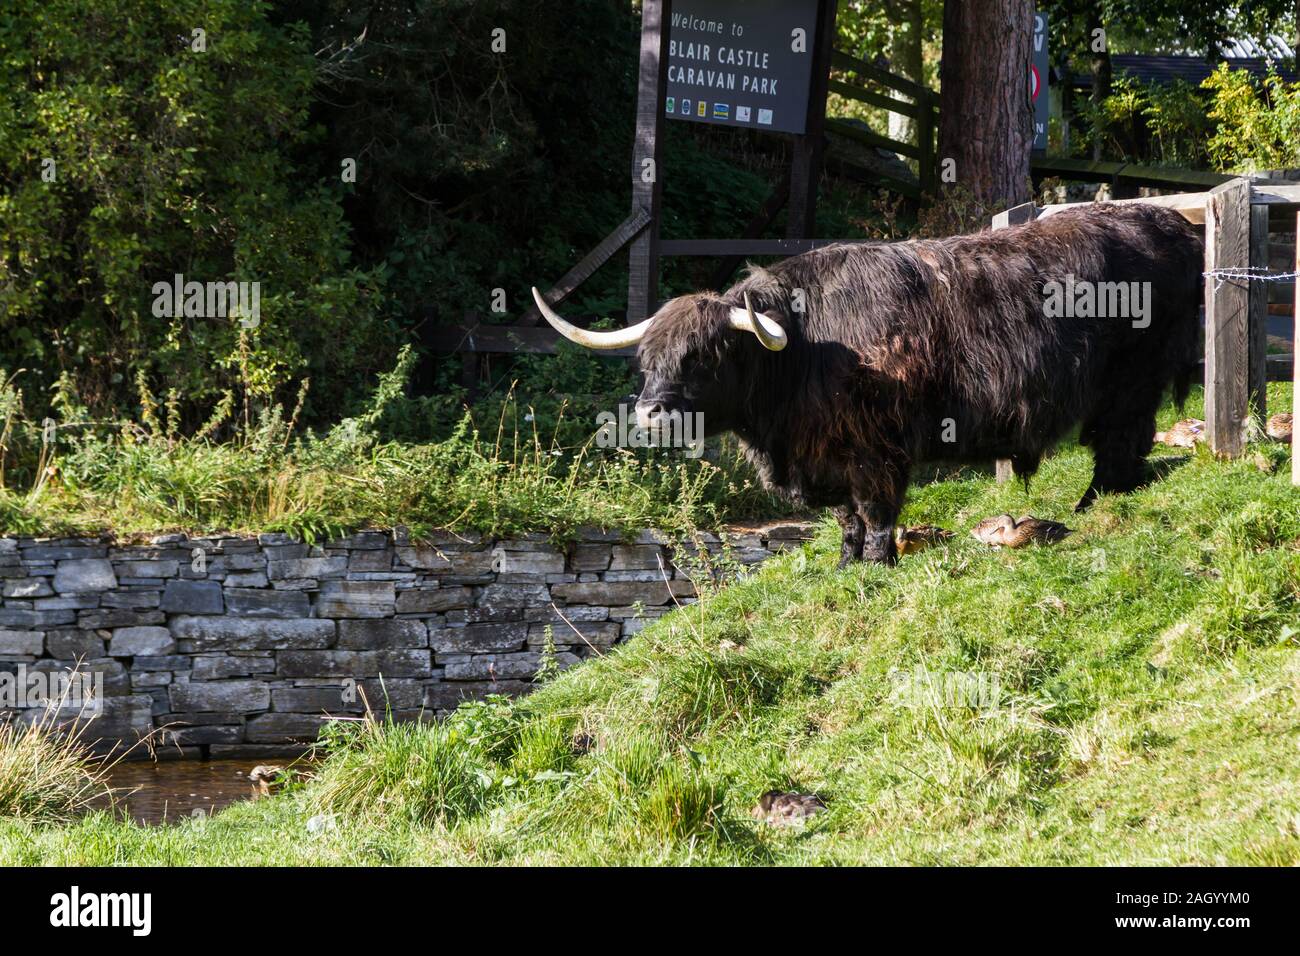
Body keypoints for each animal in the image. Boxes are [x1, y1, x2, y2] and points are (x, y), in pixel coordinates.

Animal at [532, 203, 1203, 565]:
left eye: (702, 357)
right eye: (649, 360)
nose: (650, 414)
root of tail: (1169, 220)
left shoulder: (876, 449)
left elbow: (877, 513)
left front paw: (877, 566)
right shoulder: (826, 456)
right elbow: (847, 520)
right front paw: (845, 563)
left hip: (1134, 378)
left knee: (1121, 440)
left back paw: (1097, 505)